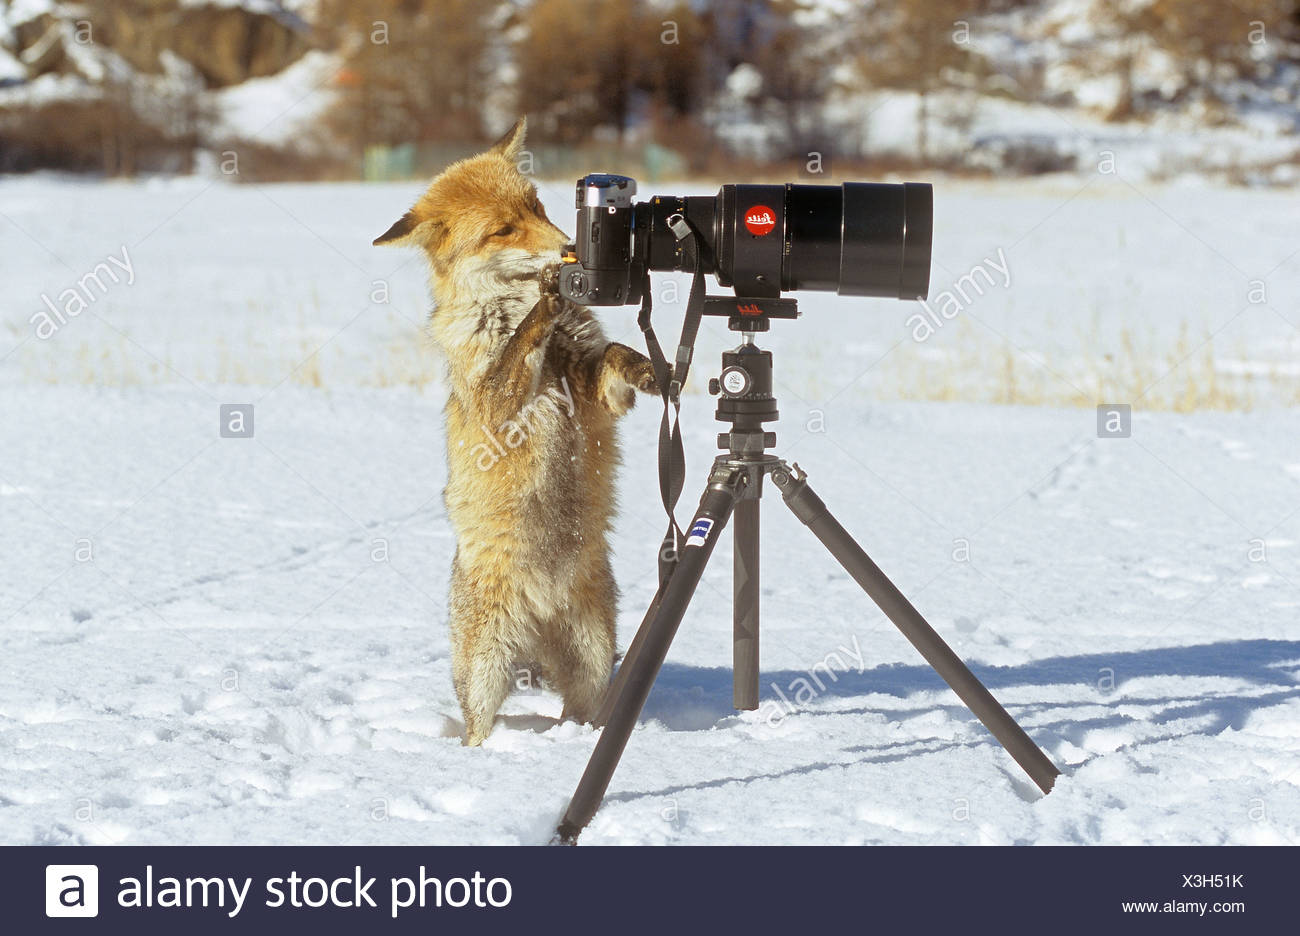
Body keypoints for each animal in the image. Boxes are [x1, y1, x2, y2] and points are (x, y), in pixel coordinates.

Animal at [373, 118, 658, 746]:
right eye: (502, 230)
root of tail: (539, 619)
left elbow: (615, 360)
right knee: (476, 729)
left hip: (593, 660)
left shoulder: (592, 388)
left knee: (582, 711)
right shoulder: (494, 407)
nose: (570, 247)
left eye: (537, 206)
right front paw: (546, 299)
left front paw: (651, 369)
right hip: (483, 673)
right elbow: (517, 348)